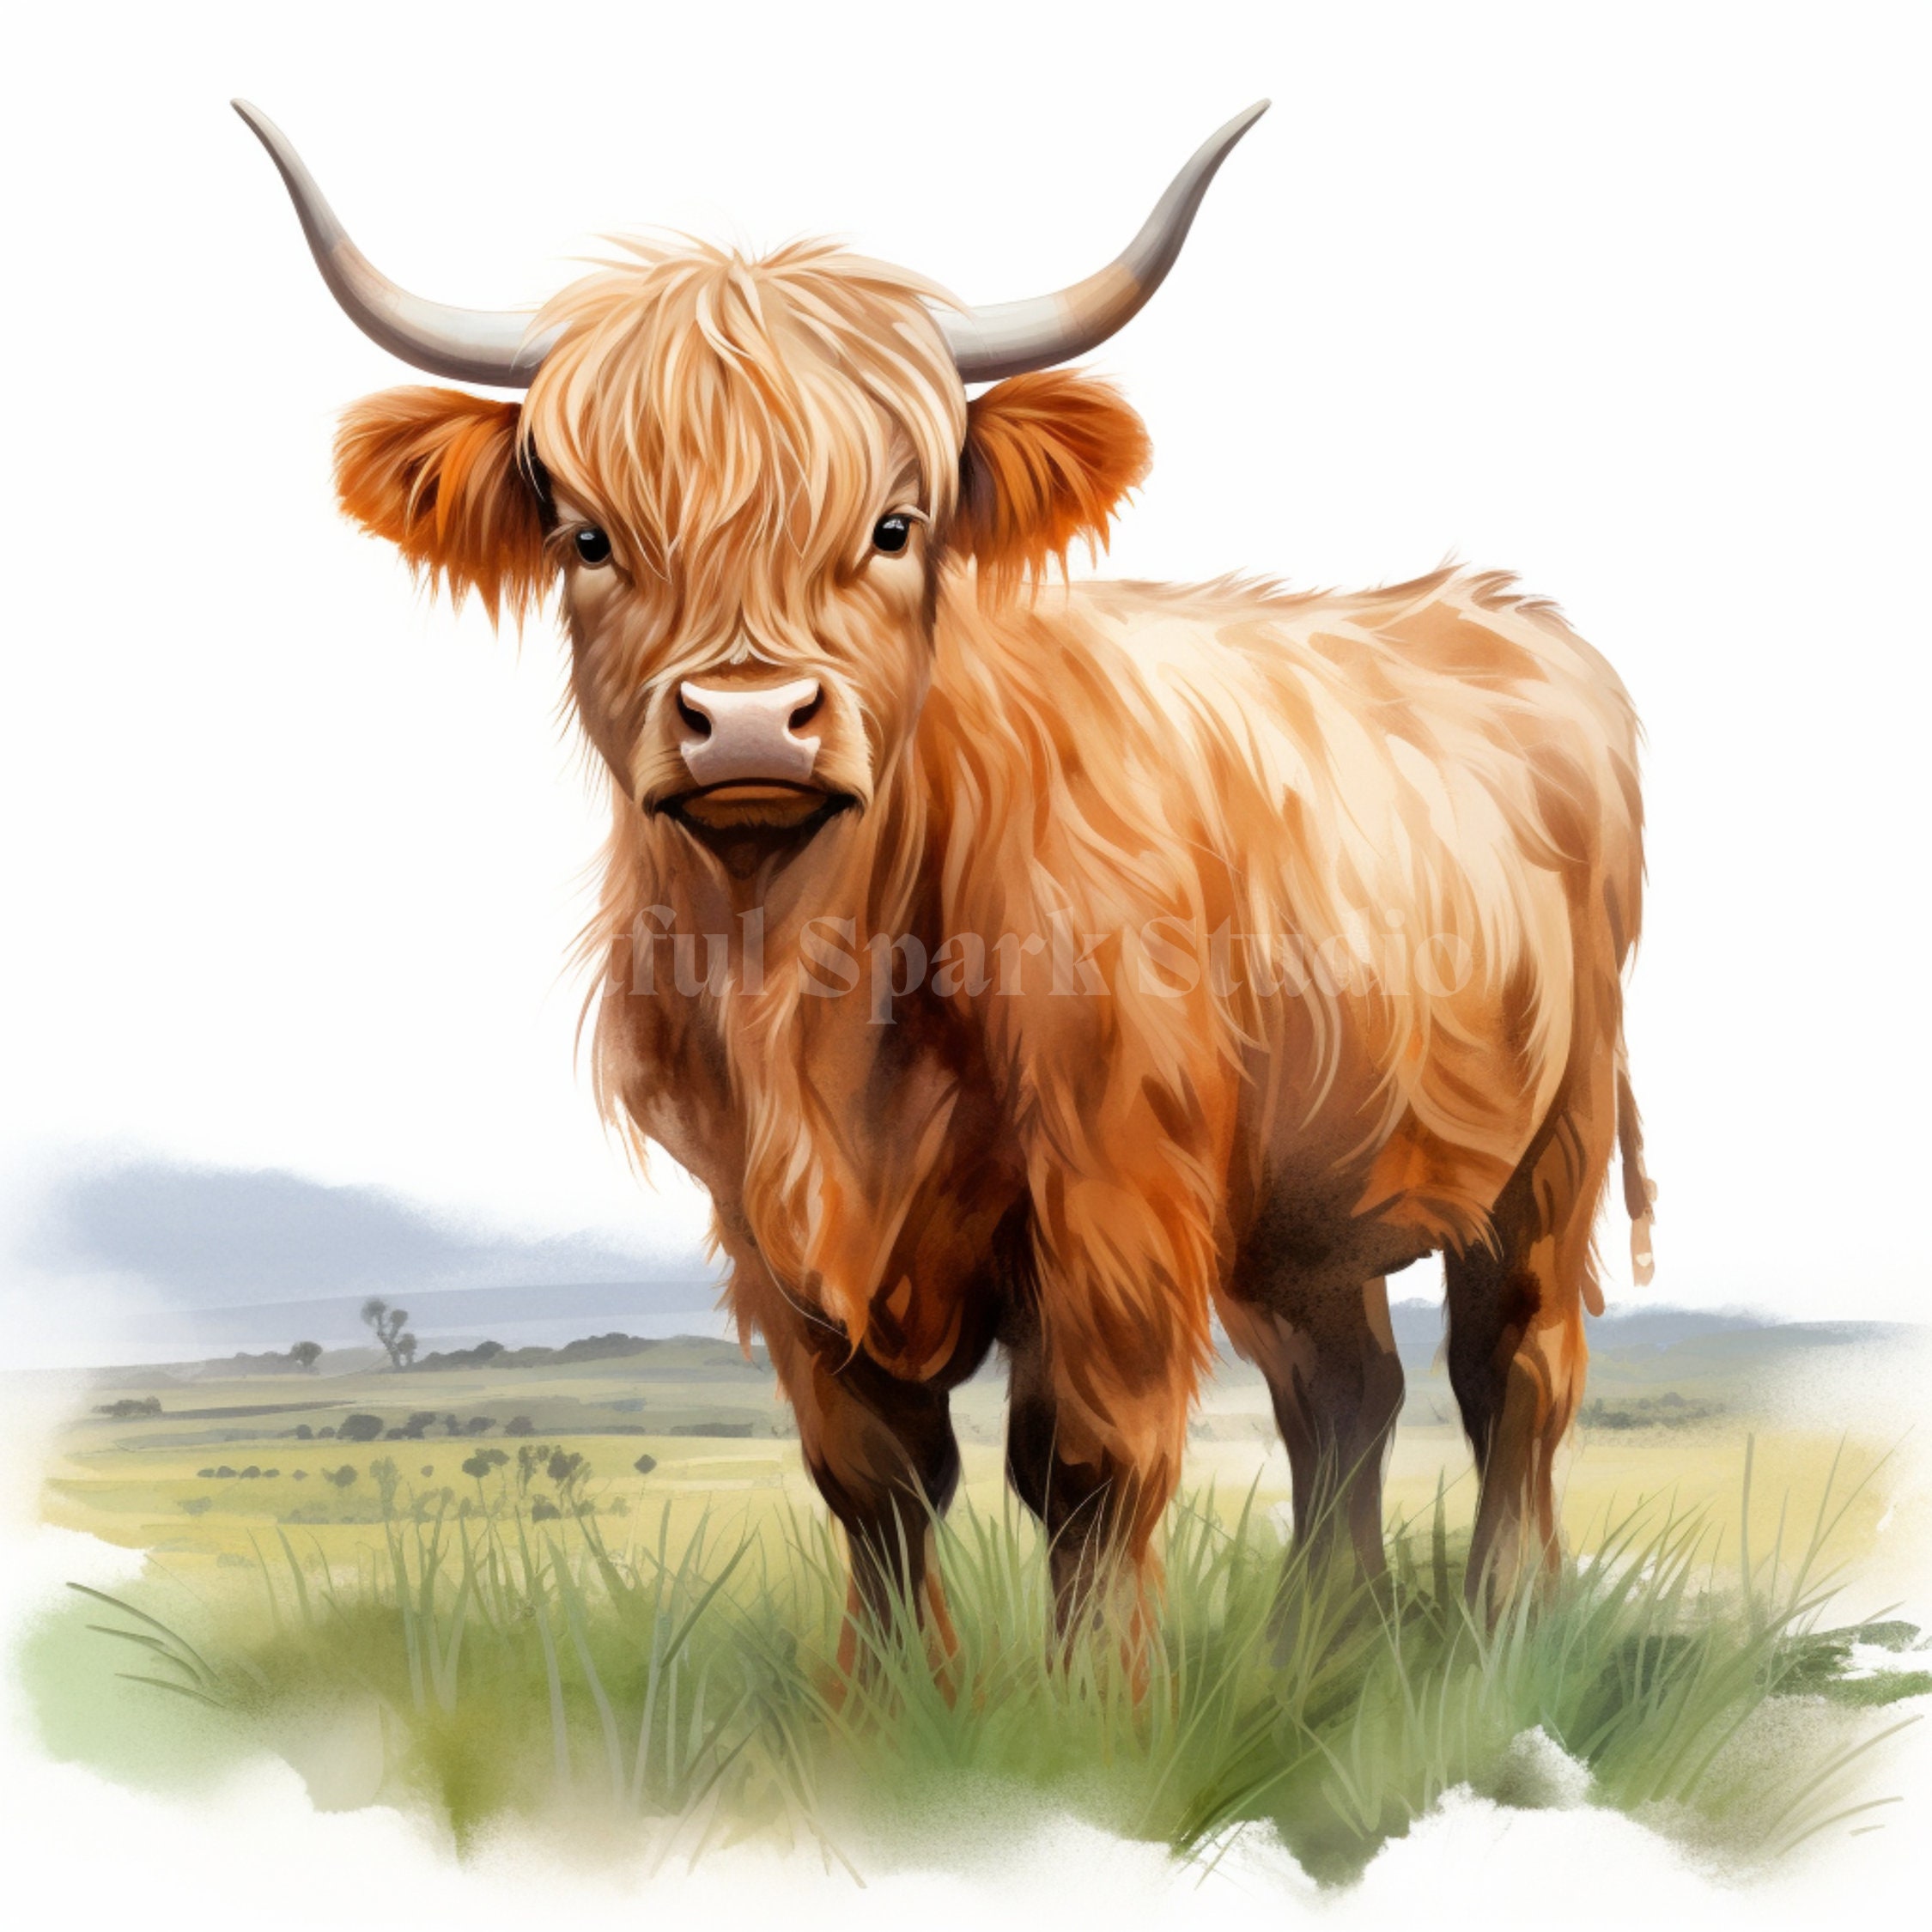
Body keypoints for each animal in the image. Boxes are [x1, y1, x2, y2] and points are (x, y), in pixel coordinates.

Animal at [238, 99, 1654, 1667]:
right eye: (589, 537)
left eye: (895, 526)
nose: (749, 720)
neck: (816, 988)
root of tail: (1495, 610)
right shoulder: (766, 1219)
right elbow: (873, 1473)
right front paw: (893, 1698)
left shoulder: (1115, 1198)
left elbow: (1088, 1463)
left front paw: (1094, 1703)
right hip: (1307, 1197)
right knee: (1342, 1392)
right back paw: (1317, 1648)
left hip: (1556, 1129)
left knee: (1511, 1366)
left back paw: (1504, 1627)